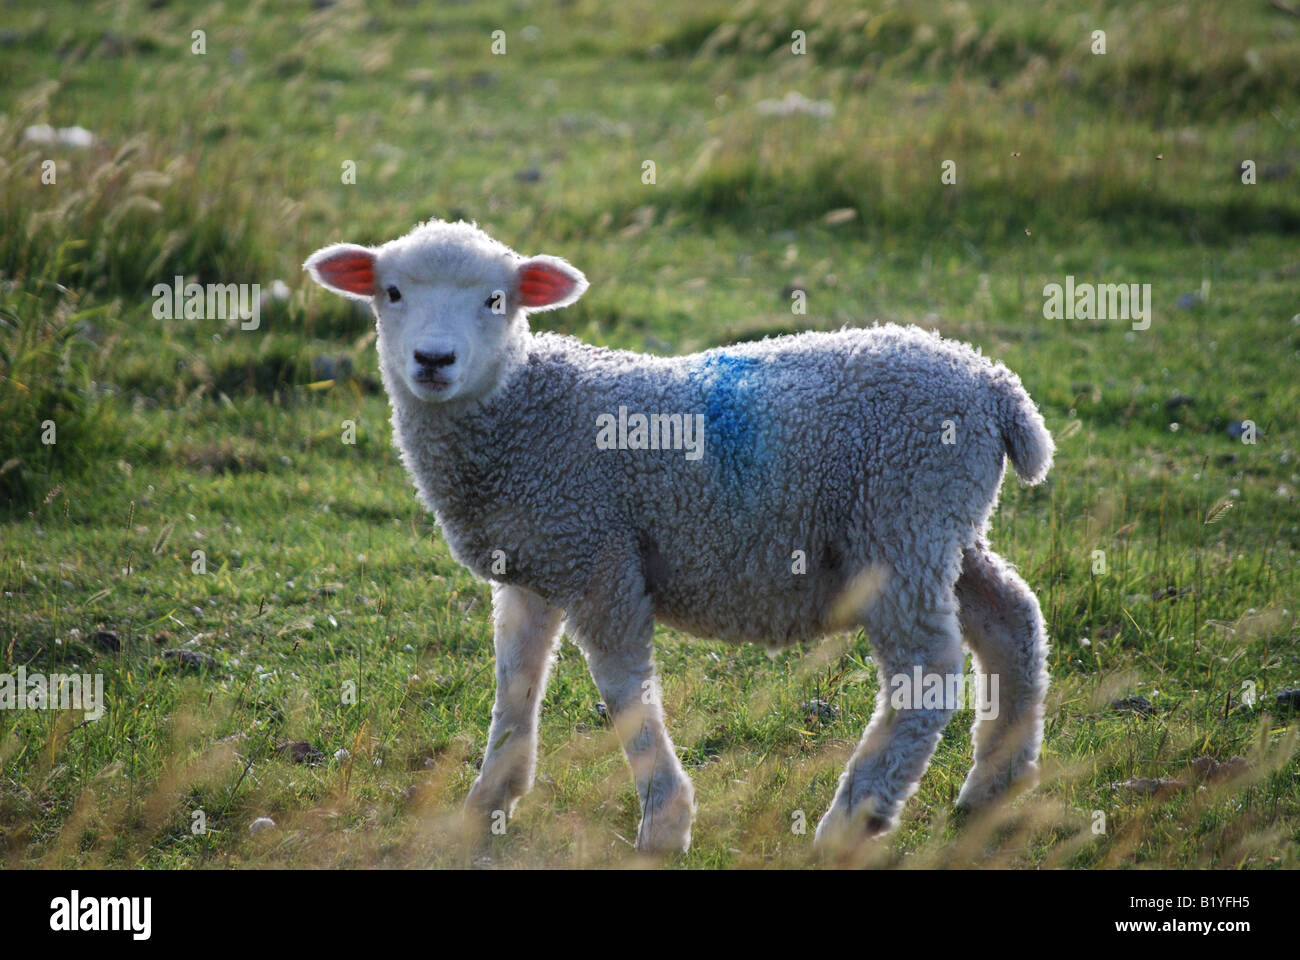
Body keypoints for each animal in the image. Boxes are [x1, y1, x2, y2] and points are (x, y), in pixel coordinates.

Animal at [304, 219, 1054, 855]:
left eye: (496, 299)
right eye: (392, 292)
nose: (433, 359)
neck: (524, 411)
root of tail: (993, 385)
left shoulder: (602, 558)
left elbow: (623, 692)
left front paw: (664, 822)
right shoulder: (534, 560)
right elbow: (515, 681)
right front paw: (486, 802)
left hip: (900, 520)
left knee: (927, 670)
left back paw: (853, 818)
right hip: (943, 529)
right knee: (1012, 618)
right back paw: (993, 787)